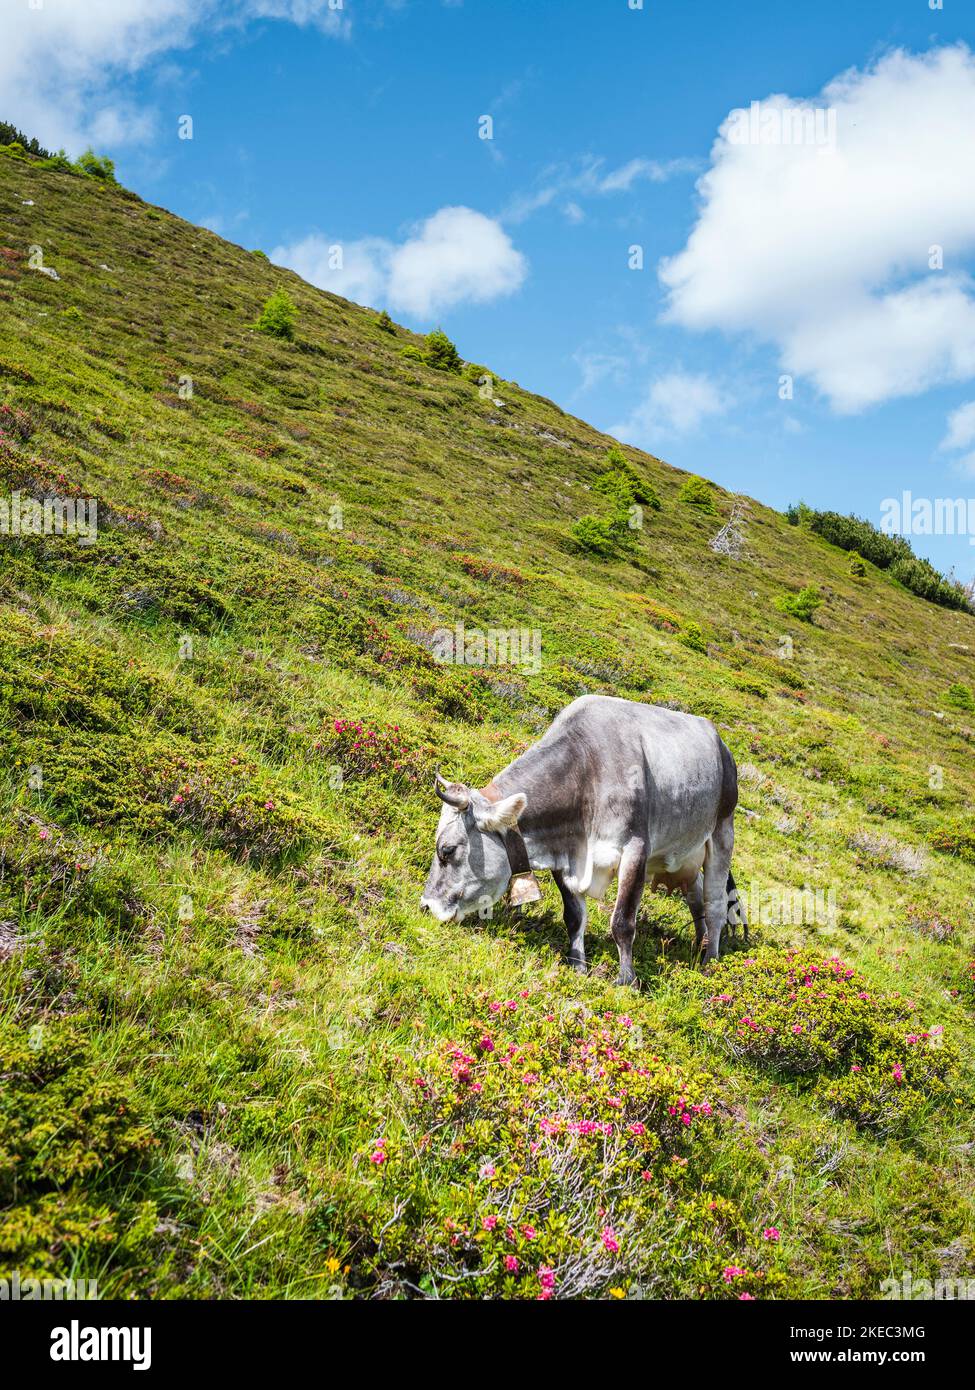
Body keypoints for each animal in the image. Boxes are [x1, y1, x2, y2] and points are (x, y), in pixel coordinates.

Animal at [420, 694, 745, 983]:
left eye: (447, 850)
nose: (426, 906)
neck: (586, 771)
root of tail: (723, 747)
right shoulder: (564, 856)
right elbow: (574, 916)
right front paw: (578, 967)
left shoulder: (635, 849)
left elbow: (622, 921)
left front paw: (626, 980)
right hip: (680, 858)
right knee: (696, 896)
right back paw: (700, 946)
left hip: (722, 831)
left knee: (715, 903)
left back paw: (710, 962)